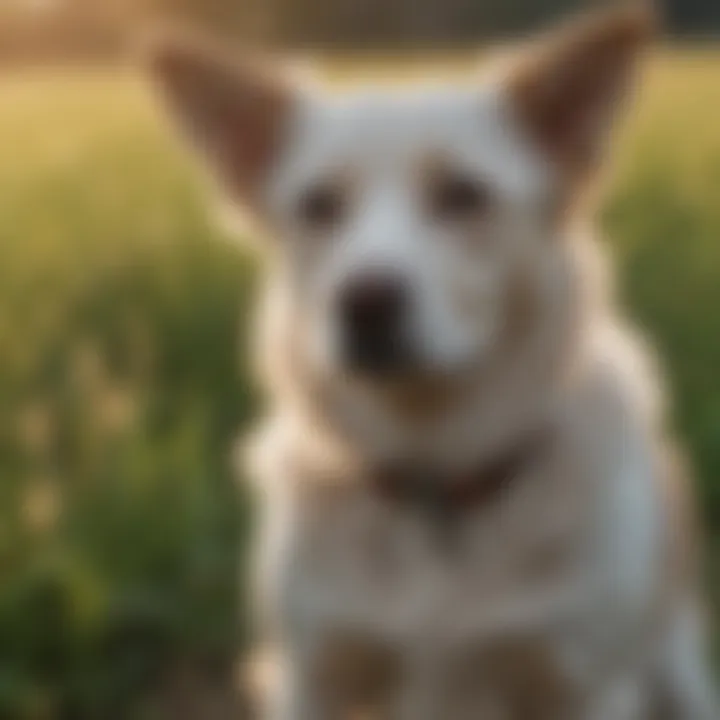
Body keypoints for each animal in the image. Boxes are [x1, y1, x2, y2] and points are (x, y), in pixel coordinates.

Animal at [149, 7, 716, 720]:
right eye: (317, 204)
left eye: (463, 194)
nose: (365, 302)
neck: (433, 479)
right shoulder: (312, 672)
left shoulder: (589, 684)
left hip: (677, 663)